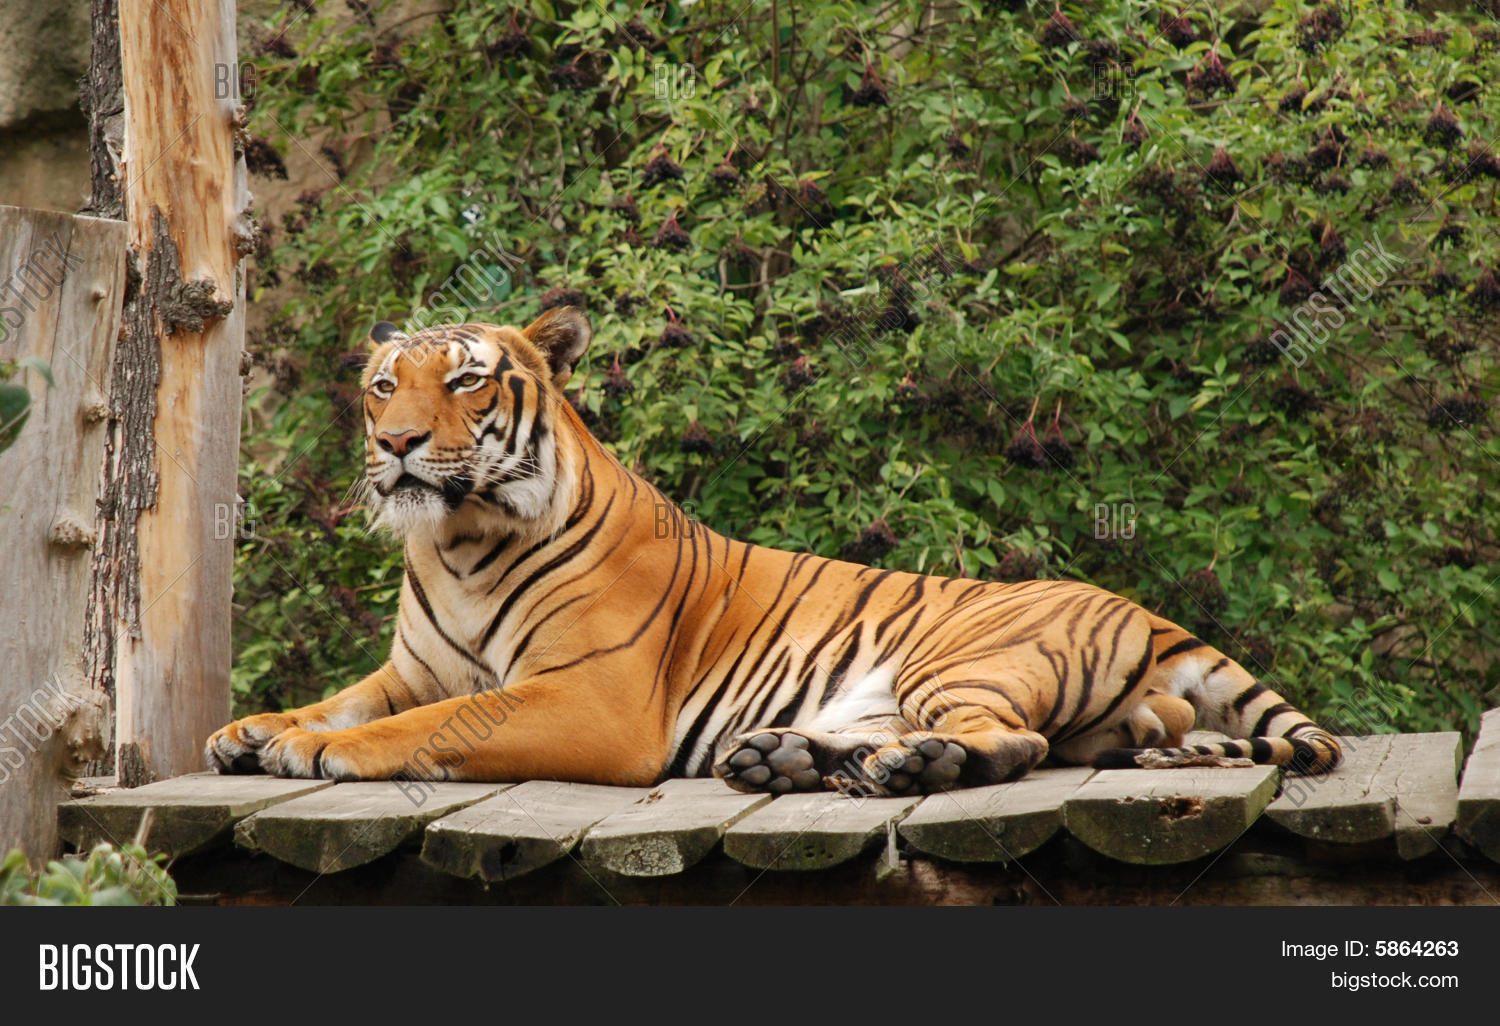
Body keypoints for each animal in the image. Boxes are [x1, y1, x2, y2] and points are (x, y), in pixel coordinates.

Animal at [205, 307, 1342, 795]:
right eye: (384, 386)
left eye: (468, 381)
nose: (393, 444)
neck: (460, 540)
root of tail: (1142, 610)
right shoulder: (412, 670)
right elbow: (343, 699)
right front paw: (248, 732)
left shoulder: (588, 698)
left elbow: (431, 724)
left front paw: (320, 753)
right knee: (1108, 735)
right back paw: (786, 757)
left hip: (956, 662)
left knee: (1015, 743)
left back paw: (909, 766)